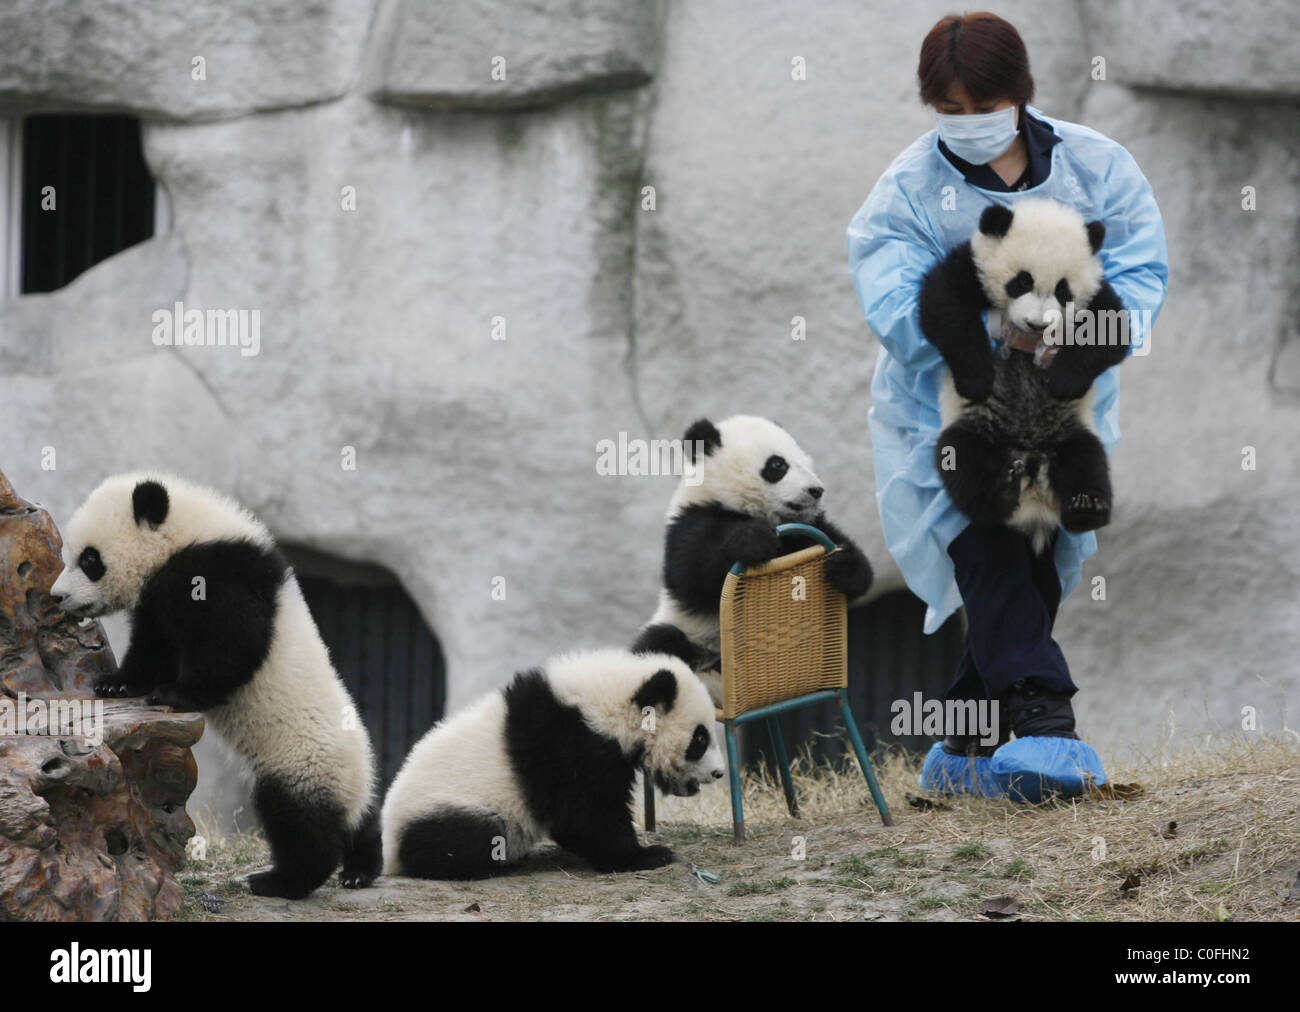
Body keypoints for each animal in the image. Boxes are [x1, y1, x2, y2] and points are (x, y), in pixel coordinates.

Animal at [49, 472, 380, 899]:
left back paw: (281, 880)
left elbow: (233, 647)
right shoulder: (163, 596)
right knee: (363, 819)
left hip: (302, 762)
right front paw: (116, 685)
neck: (183, 534)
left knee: (300, 823)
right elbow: (155, 645)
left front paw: (173, 693)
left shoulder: (218, 575)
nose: (58, 596)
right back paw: (360, 870)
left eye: (90, 560)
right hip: (351, 778)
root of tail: (353, 783)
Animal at [381, 648, 725, 879]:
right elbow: (586, 813)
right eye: (700, 739)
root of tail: (390, 847)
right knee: (466, 836)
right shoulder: (568, 744)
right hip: (449, 808)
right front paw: (645, 855)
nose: (718, 772)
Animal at [630, 415, 873, 680]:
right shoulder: (690, 522)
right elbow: (691, 575)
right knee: (661, 641)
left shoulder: (808, 527)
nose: (816, 490)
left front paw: (844, 565)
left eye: (804, 461)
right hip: (685, 630)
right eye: (778, 465)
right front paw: (753, 540)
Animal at [918, 198, 1130, 554]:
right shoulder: (972, 267)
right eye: (1022, 281)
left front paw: (1063, 382)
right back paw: (1001, 493)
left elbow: (1110, 329)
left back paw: (1085, 507)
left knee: (1087, 460)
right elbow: (944, 305)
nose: (1037, 324)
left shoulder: (1097, 291)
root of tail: (1033, 485)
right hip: (975, 427)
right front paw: (977, 380)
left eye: (1063, 290)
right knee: (960, 458)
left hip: (1070, 430)